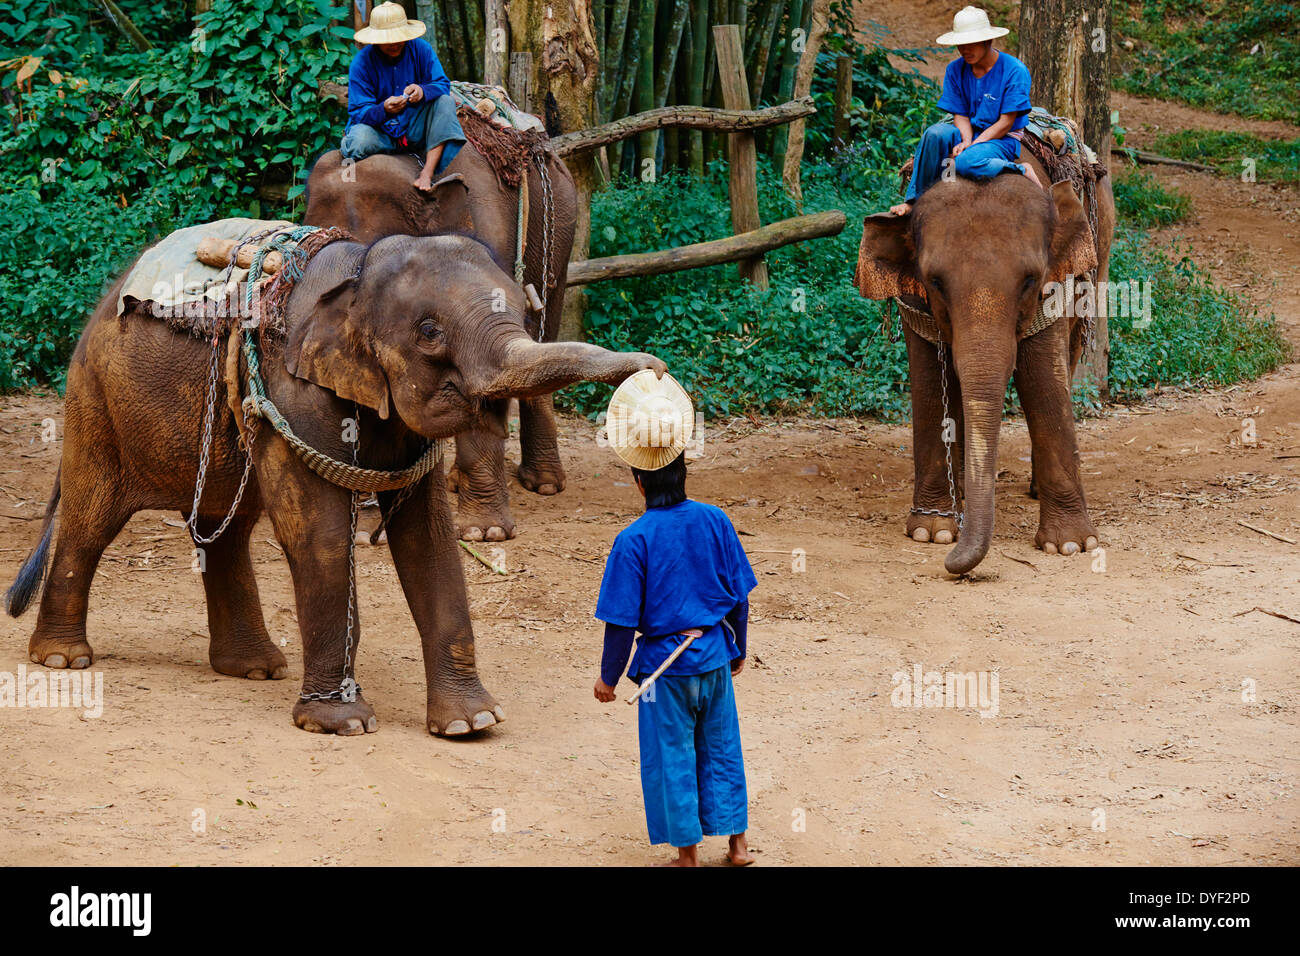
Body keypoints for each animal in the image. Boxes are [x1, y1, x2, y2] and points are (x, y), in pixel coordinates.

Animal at [5, 233, 664, 736]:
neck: (358, 273)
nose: (655, 368)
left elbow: (429, 540)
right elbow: (319, 534)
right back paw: (64, 658)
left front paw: (469, 724)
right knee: (91, 520)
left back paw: (254, 668)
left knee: (225, 528)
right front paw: (342, 724)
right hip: (96, 401)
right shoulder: (291, 390)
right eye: (429, 331)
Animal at [855, 153, 1115, 574]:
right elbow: (931, 384)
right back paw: (959, 490)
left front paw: (1072, 545)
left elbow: (1044, 384)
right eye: (936, 281)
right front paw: (933, 532)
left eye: (1029, 280)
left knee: (1073, 352)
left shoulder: (1052, 289)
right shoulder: (914, 300)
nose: (951, 563)